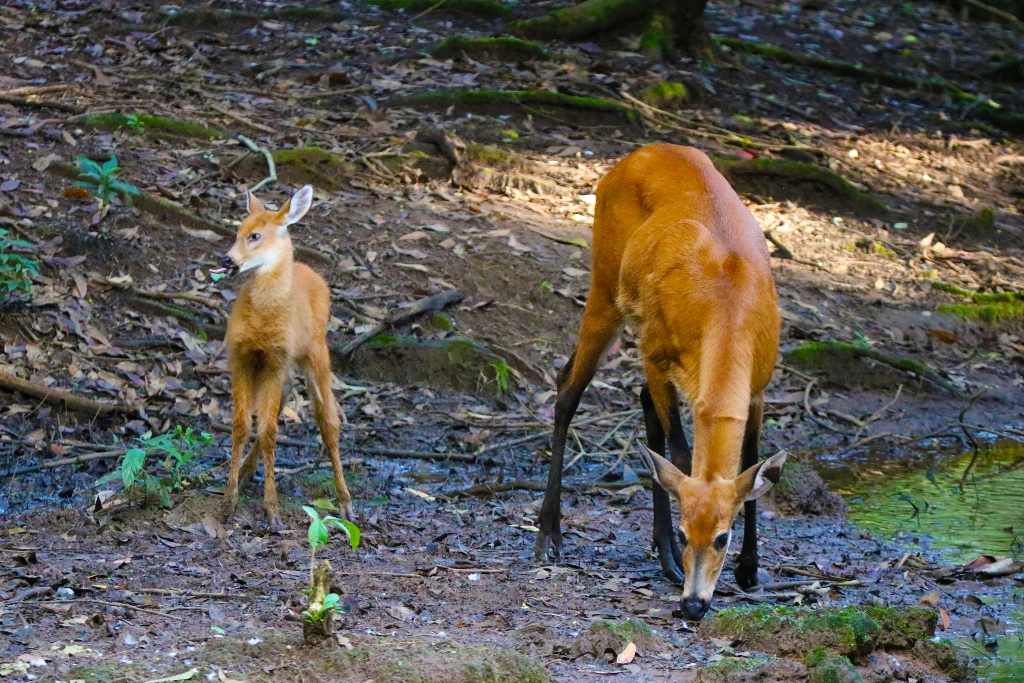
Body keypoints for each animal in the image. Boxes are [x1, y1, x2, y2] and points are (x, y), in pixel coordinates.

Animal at [214, 185, 352, 531]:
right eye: (237, 232)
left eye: (255, 236)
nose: (226, 259)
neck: (263, 318)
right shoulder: (241, 357)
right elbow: (242, 425)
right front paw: (228, 502)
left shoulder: (276, 360)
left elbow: (269, 431)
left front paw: (272, 509)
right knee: (284, 400)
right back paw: (247, 471)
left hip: (315, 351)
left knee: (327, 419)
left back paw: (345, 501)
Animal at [534, 143, 787, 621]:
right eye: (688, 533)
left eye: (723, 537)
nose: (694, 605)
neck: (729, 309)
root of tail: (635, 155)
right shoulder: (657, 352)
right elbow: (681, 452)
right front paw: (675, 553)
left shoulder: (760, 384)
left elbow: (751, 458)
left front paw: (749, 569)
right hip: (606, 286)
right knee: (568, 388)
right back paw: (549, 535)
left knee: (628, 398)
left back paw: (658, 552)